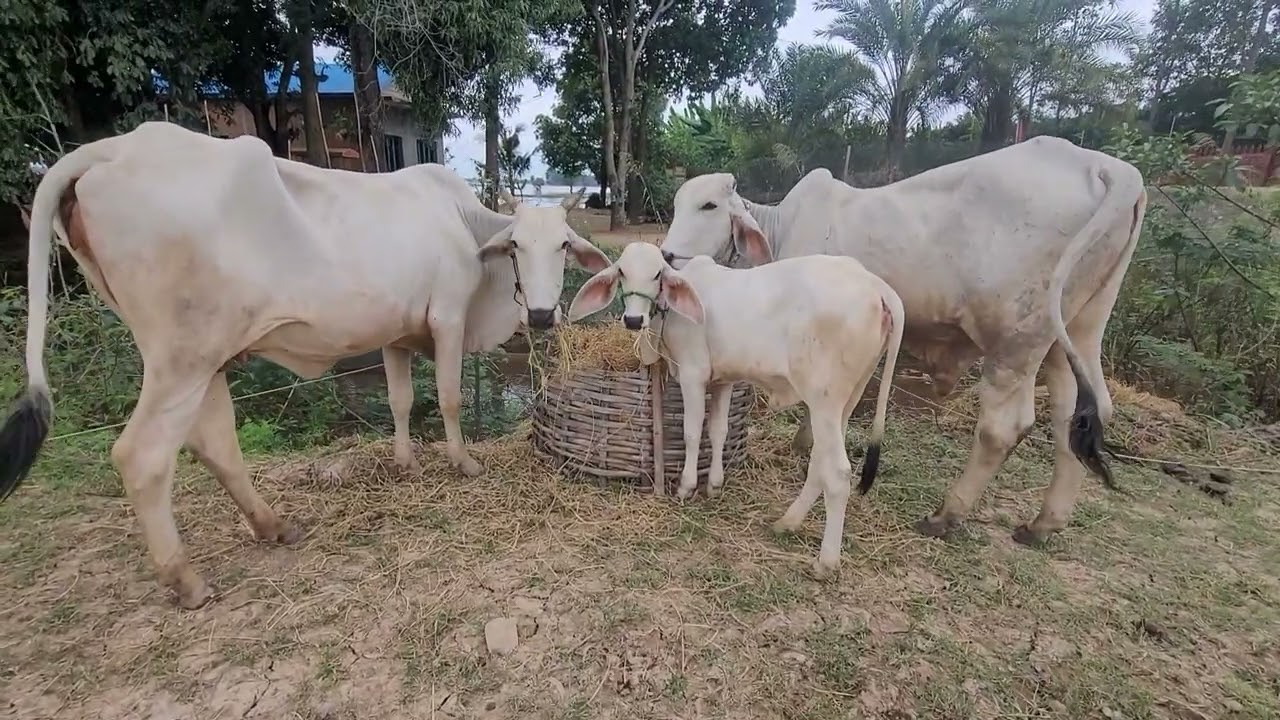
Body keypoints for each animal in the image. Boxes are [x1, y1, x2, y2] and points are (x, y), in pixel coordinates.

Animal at [0, 121, 611, 609]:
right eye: (517, 247)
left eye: (563, 245)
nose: (541, 314)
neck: (464, 227)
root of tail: (111, 149)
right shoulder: (448, 321)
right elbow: (449, 398)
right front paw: (462, 463)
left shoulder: (396, 334)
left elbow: (400, 400)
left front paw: (405, 463)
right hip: (180, 359)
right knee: (142, 457)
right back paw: (187, 580)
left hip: (206, 359)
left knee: (216, 443)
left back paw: (272, 526)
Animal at [567, 241, 905, 576]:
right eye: (622, 272)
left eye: (657, 274)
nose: (634, 320)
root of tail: (875, 285)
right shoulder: (723, 381)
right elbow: (718, 430)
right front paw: (714, 484)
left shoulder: (693, 374)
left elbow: (693, 432)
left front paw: (686, 486)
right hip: (845, 400)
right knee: (819, 463)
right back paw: (788, 522)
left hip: (824, 399)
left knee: (837, 473)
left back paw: (826, 561)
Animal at [656, 135, 1147, 547]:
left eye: (709, 205)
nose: (667, 254)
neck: (779, 228)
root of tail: (1107, 167)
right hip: (1075, 334)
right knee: (1079, 416)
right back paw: (1043, 523)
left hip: (1017, 340)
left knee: (1003, 426)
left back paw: (946, 514)